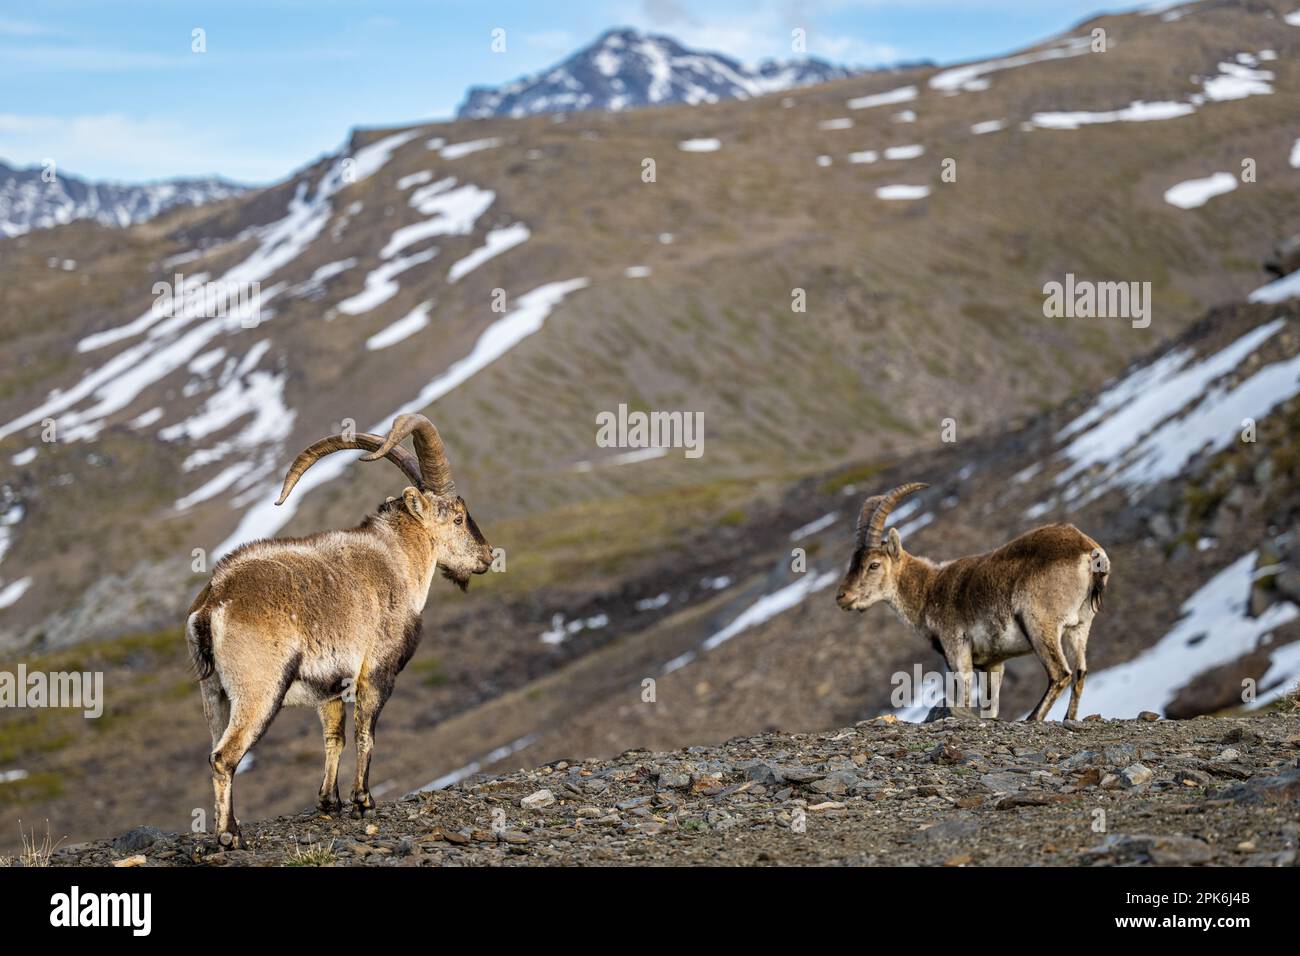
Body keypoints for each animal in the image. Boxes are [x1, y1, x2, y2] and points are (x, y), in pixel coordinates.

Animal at [186, 413, 493, 848]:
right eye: (458, 518)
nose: (487, 556)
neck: (397, 560)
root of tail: (214, 600)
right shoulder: (376, 671)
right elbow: (366, 731)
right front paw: (363, 800)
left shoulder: (328, 684)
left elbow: (335, 737)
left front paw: (329, 803)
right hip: (259, 688)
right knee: (224, 756)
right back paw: (230, 836)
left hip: (213, 693)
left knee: (213, 746)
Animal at [835, 483, 1109, 721]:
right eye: (852, 562)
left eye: (873, 564)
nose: (842, 596)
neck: (928, 591)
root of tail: (1089, 551)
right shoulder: (993, 664)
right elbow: (990, 707)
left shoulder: (957, 650)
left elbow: (964, 698)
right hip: (1080, 626)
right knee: (1080, 672)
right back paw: (1069, 718)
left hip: (1040, 622)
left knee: (1061, 673)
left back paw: (1033, 718)